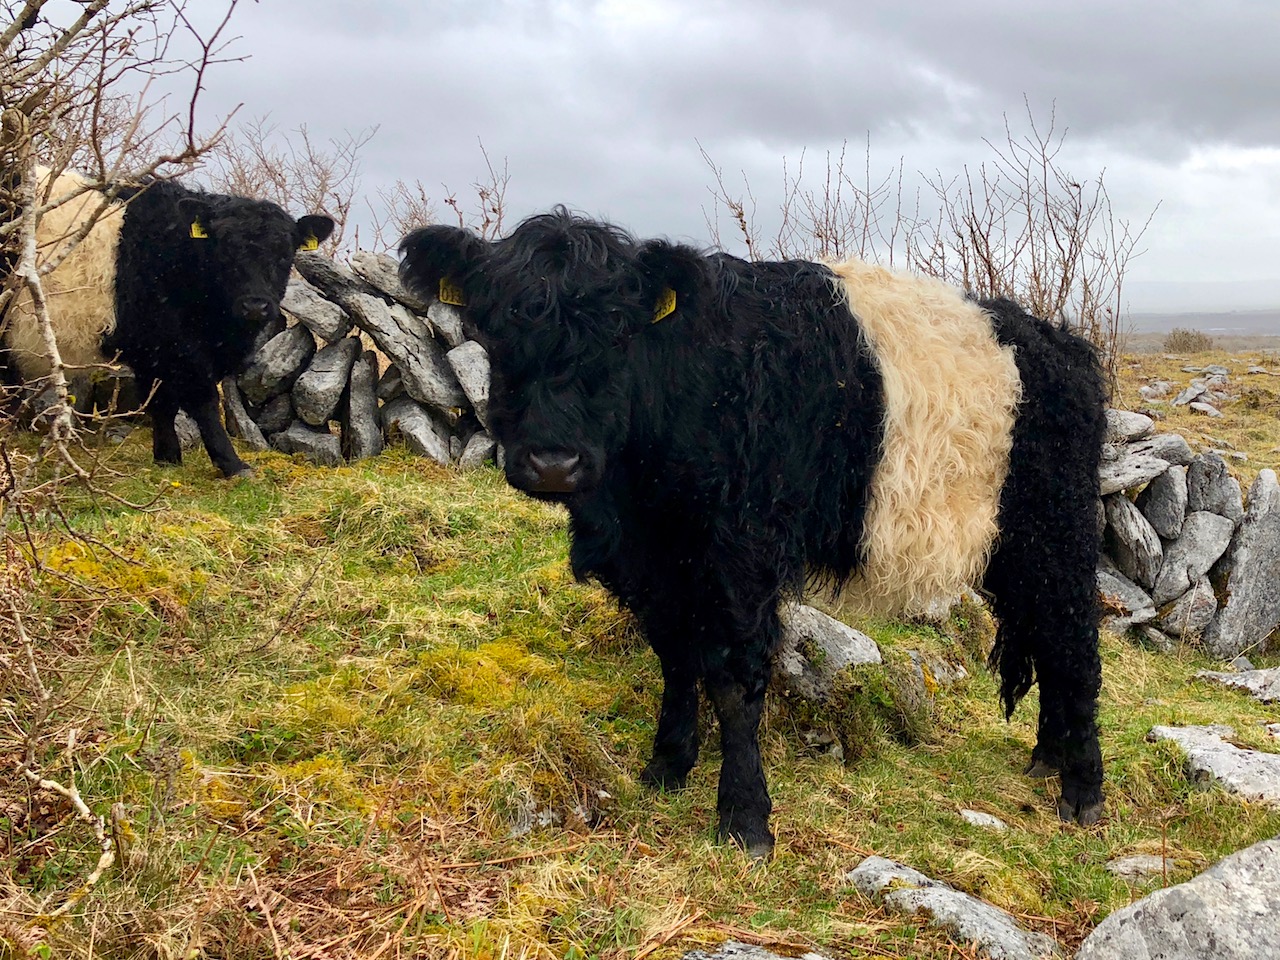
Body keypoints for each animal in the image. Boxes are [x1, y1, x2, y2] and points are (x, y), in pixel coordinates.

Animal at [3, 167, 334, 477]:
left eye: (284, 254)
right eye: (224, 249)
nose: (255, 305)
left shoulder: (155, 351)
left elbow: (162, 401)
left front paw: (167, 456)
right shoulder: (176, 348)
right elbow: (202, 402)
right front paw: (232, 464)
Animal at [399, 208, 1108, 858]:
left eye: (620, 335)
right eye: (497, 328)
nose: (553, 462)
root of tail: (1057, 342)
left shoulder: (741, 556)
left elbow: (734, 679)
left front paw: (744, 818)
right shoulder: (658, 562)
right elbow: (676, 657)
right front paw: (667, 765)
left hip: (1056, 526)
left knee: (1074, 635)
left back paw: (1083, 790)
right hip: (1013, 545)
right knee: (1046, 629)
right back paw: (1048, 755)